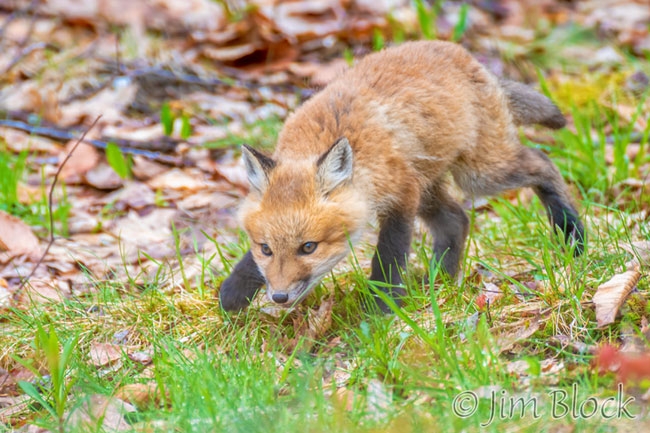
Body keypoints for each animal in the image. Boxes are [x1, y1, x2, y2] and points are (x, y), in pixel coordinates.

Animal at [219, 40, 584, 313]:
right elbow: (246, 267)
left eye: (308, 247)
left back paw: (572, 234)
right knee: (456, 220)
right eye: (266, 249)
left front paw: (382, 306)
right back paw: (440, 281)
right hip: (431, 186)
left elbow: (389, 254)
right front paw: (233, 295)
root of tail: (470, 59)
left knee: (542, 163)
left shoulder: (402, 193)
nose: (279, 297)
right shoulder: (407, 190)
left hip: (478, 175)